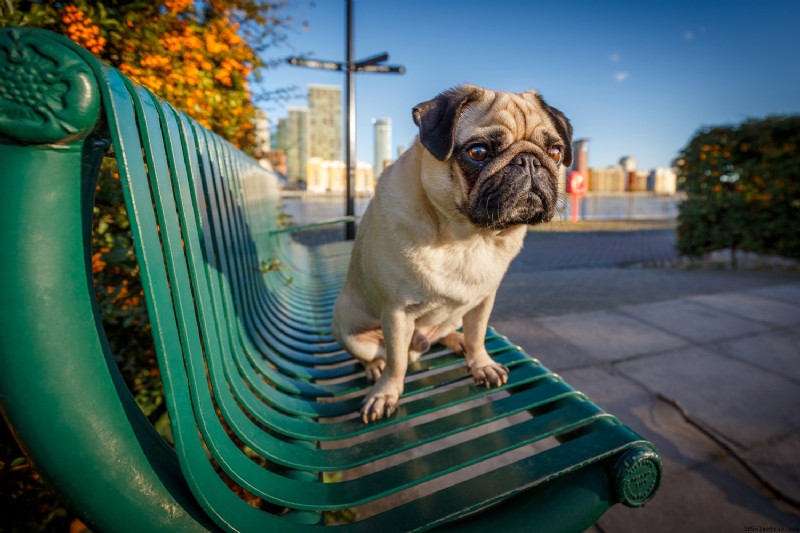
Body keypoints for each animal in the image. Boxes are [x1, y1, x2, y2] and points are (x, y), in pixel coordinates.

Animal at [330, 84, 568, 424]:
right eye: (478, 152)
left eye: (556, 152)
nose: (530, 161)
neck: (470, 238)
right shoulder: (396, 312)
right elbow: (397, 362)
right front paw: (386, 393)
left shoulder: (483, 301)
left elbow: (477, 335)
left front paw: (480, 363)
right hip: (346, 330)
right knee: (380, 354)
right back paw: (375, 366)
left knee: (448, 332)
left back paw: (456, 341)